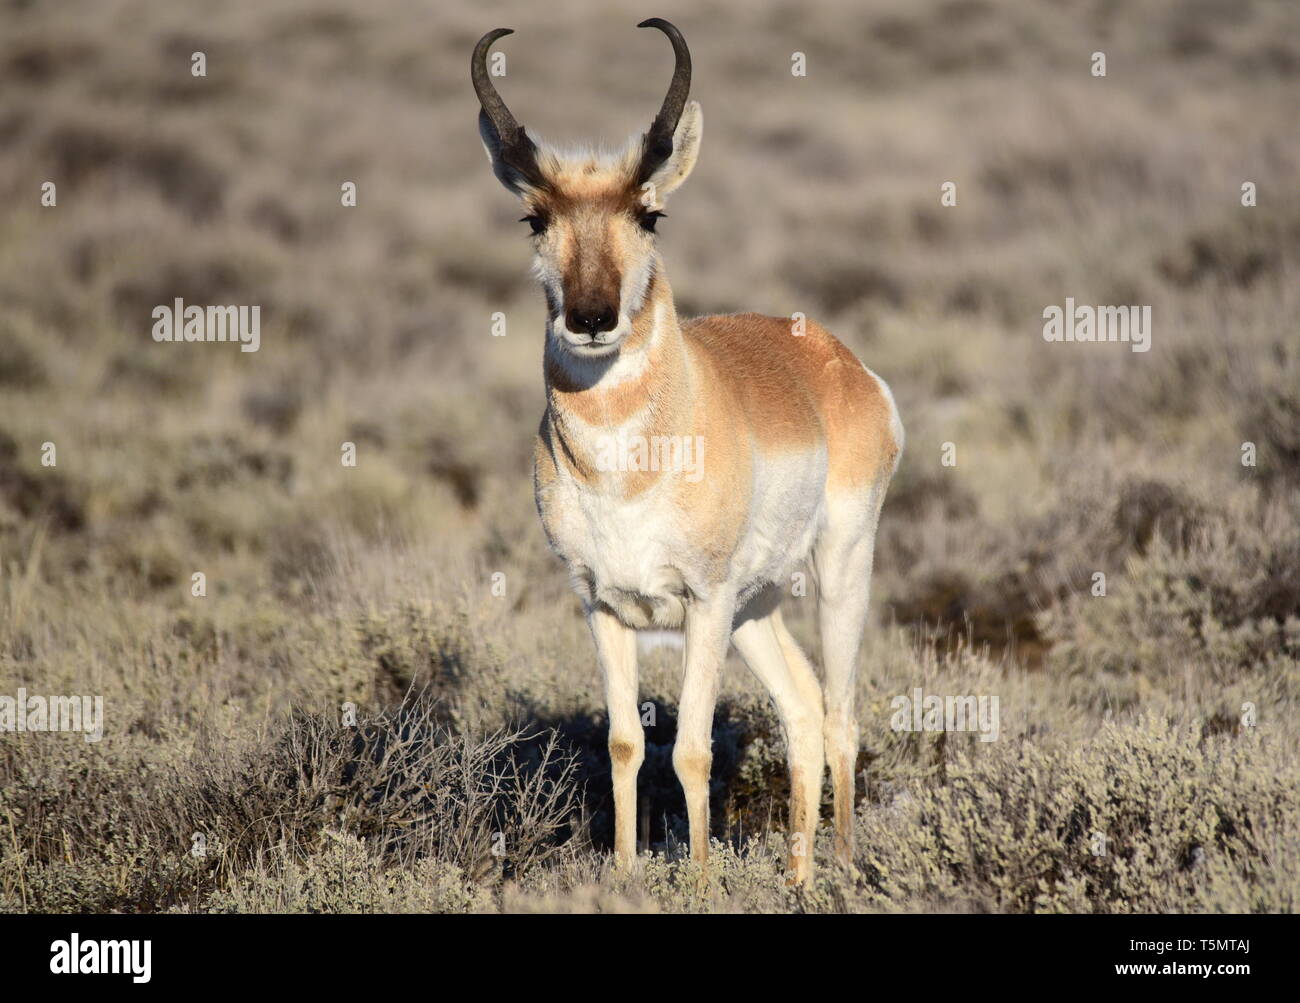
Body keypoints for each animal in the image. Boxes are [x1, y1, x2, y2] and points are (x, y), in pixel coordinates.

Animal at [471, 19, 903, 883]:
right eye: (535, 218)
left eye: (650, 214)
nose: (593, 317)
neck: (626, 469)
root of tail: (838, 363)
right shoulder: (604, 605)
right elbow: (625, 744)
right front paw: (624, 875)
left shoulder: (701, 603)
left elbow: (695, 752)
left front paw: (700, 879)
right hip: (756, 606)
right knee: (803, 706)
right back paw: (799, 877)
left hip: (839, 568)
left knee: (841, 711)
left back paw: (841, 868)